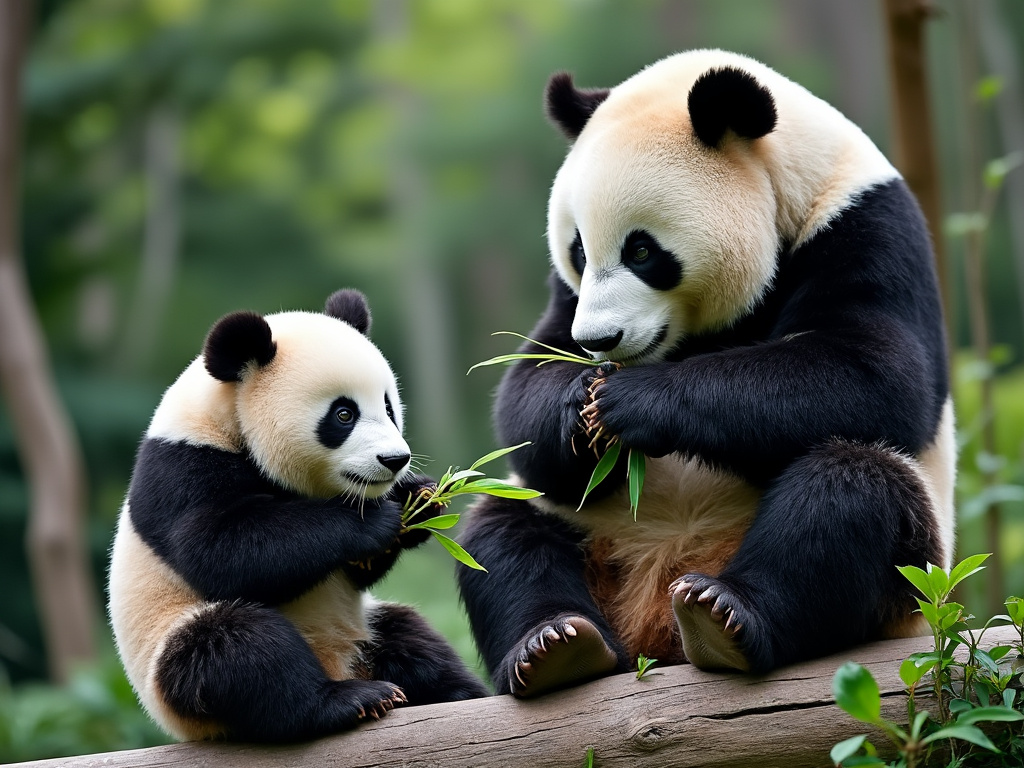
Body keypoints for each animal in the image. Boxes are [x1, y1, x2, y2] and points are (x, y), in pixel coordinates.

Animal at [109, 289, 487, 742]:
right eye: (343, 414)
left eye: (388, 407)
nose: (395, 460)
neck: (227, 415)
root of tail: (338, 663)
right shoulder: (182, 468)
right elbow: (222, 552)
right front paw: (373, 522)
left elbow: (357, 572)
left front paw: (422, 499)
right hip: (171, 666)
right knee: (240, 650)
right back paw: (348, 701)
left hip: (368, 624)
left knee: (412, 638)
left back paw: (467, 692)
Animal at [458, 49, 954, 697]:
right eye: (579, 252)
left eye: (642, 251)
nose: (599, 342)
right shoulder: (566, 301)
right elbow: (526, 385)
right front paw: (577, 401)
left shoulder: (864, 225)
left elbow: (881, 375)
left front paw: (631, 401)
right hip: (585, 527)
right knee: (502, 531)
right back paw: (553, 644)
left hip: (916, 579)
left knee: (853, 493)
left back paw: (727, 615)